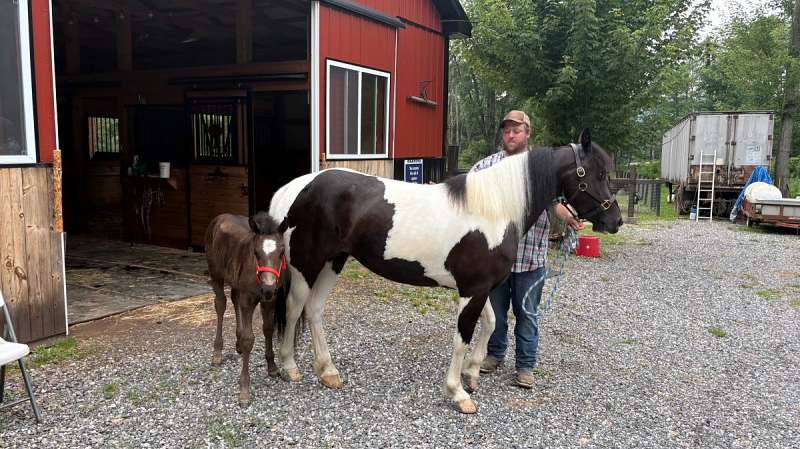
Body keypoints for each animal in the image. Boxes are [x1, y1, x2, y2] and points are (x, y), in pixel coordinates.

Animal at [205, 211, 290, 407]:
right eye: (256, 252)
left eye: (282, 252)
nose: (268, 289)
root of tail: (219, 217)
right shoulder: (248, 300)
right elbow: (248, 339)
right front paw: (244, 389)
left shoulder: (269, 301)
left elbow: (268, 329)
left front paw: (272, 367)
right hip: (216, 274)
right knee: (221, 304)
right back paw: (217, 352)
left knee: (233, 299)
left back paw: (235, 345)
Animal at [268, 129, 622, 413]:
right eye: (598, 173)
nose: (615, 220)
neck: (493, 210)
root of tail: (294, 188)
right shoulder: (473, 290)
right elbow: (462, 336)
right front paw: (458, 393)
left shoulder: (480, 288)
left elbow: (492, 323)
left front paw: (473, 374)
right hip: (306, 264)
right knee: (295, 307)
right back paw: (290, 367)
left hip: (334, 261)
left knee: (314, 310)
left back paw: (328, 372)